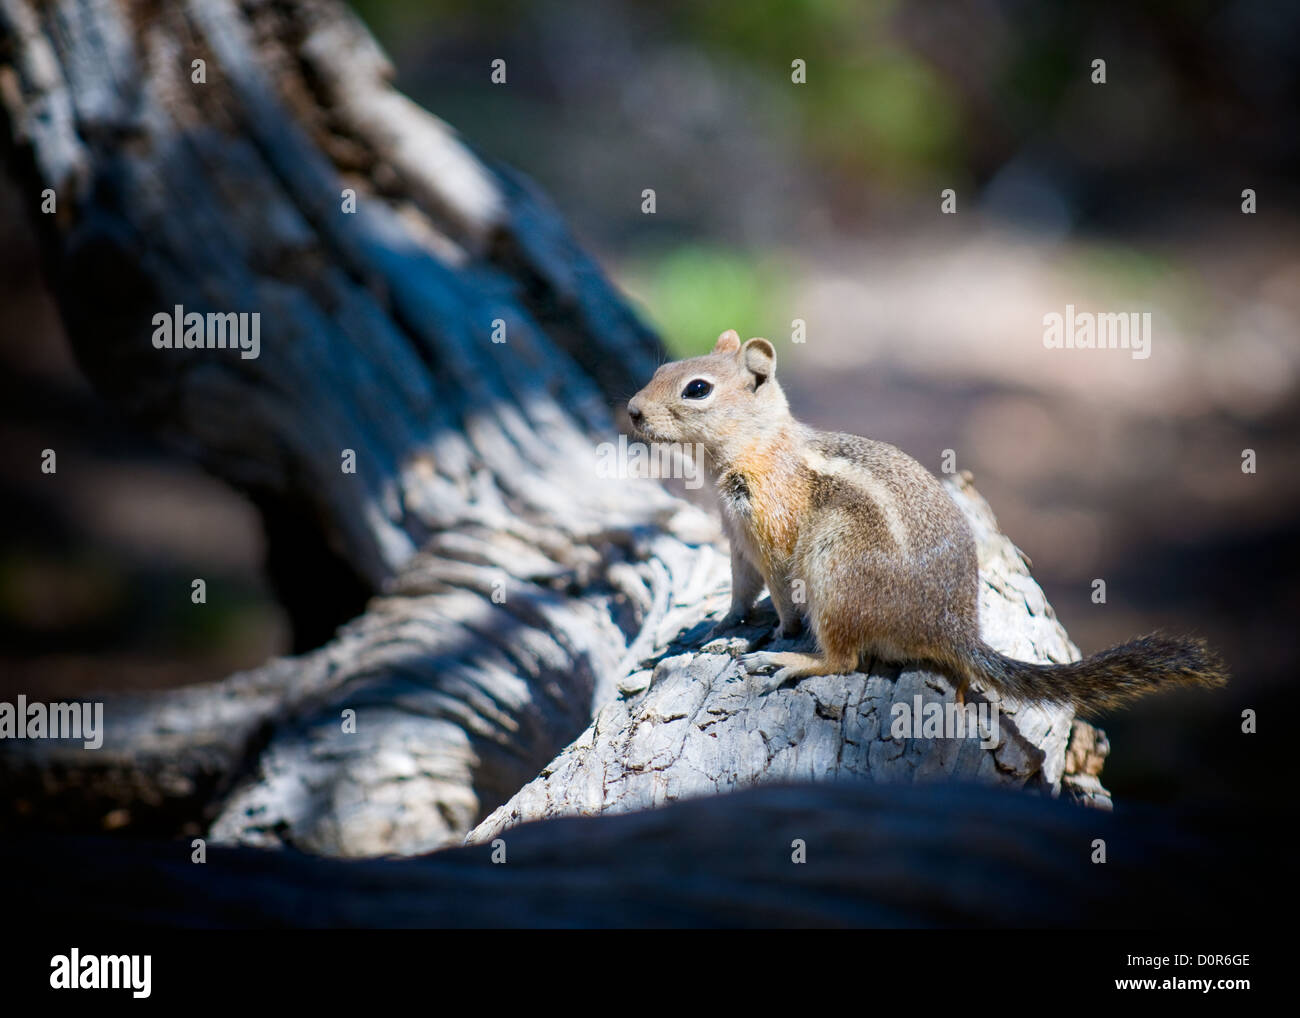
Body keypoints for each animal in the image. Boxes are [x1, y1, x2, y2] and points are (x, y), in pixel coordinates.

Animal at [626, 329, 1228, 713]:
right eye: (659, 370)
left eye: (697, 389)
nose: (631, 411)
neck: (753, 449)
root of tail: (950, 628)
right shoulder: (736, 541)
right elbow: (738, 590)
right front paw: (721, 627)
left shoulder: (772, 532)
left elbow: (778, 592)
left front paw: (778, 631)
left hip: (835, 571)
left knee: (846, 658)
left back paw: (797, 662)